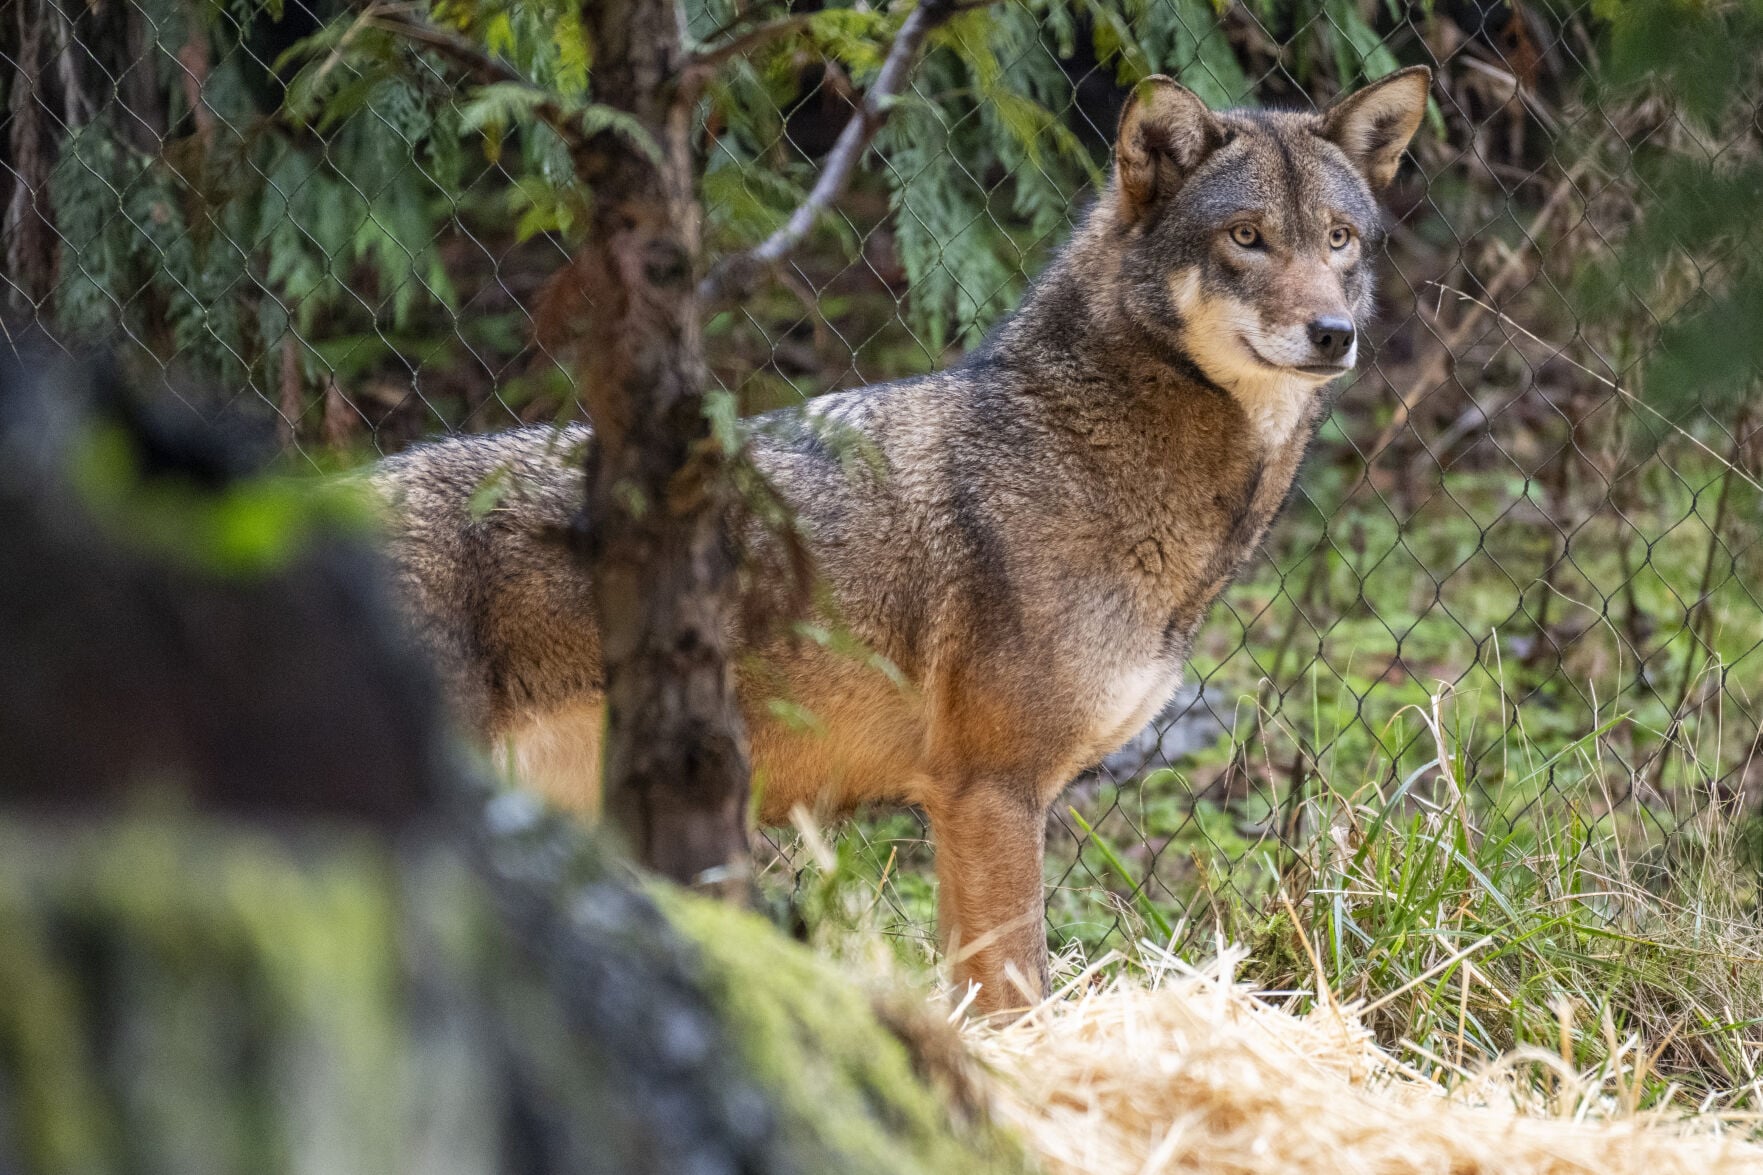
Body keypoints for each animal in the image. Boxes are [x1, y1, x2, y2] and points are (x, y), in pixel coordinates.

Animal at [374, 66, 1433, 1014]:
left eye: (1337, 239)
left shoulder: (968, 804)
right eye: (1246, 237)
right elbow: (1015, 1000)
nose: (1333, 333)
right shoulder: (990, 794)